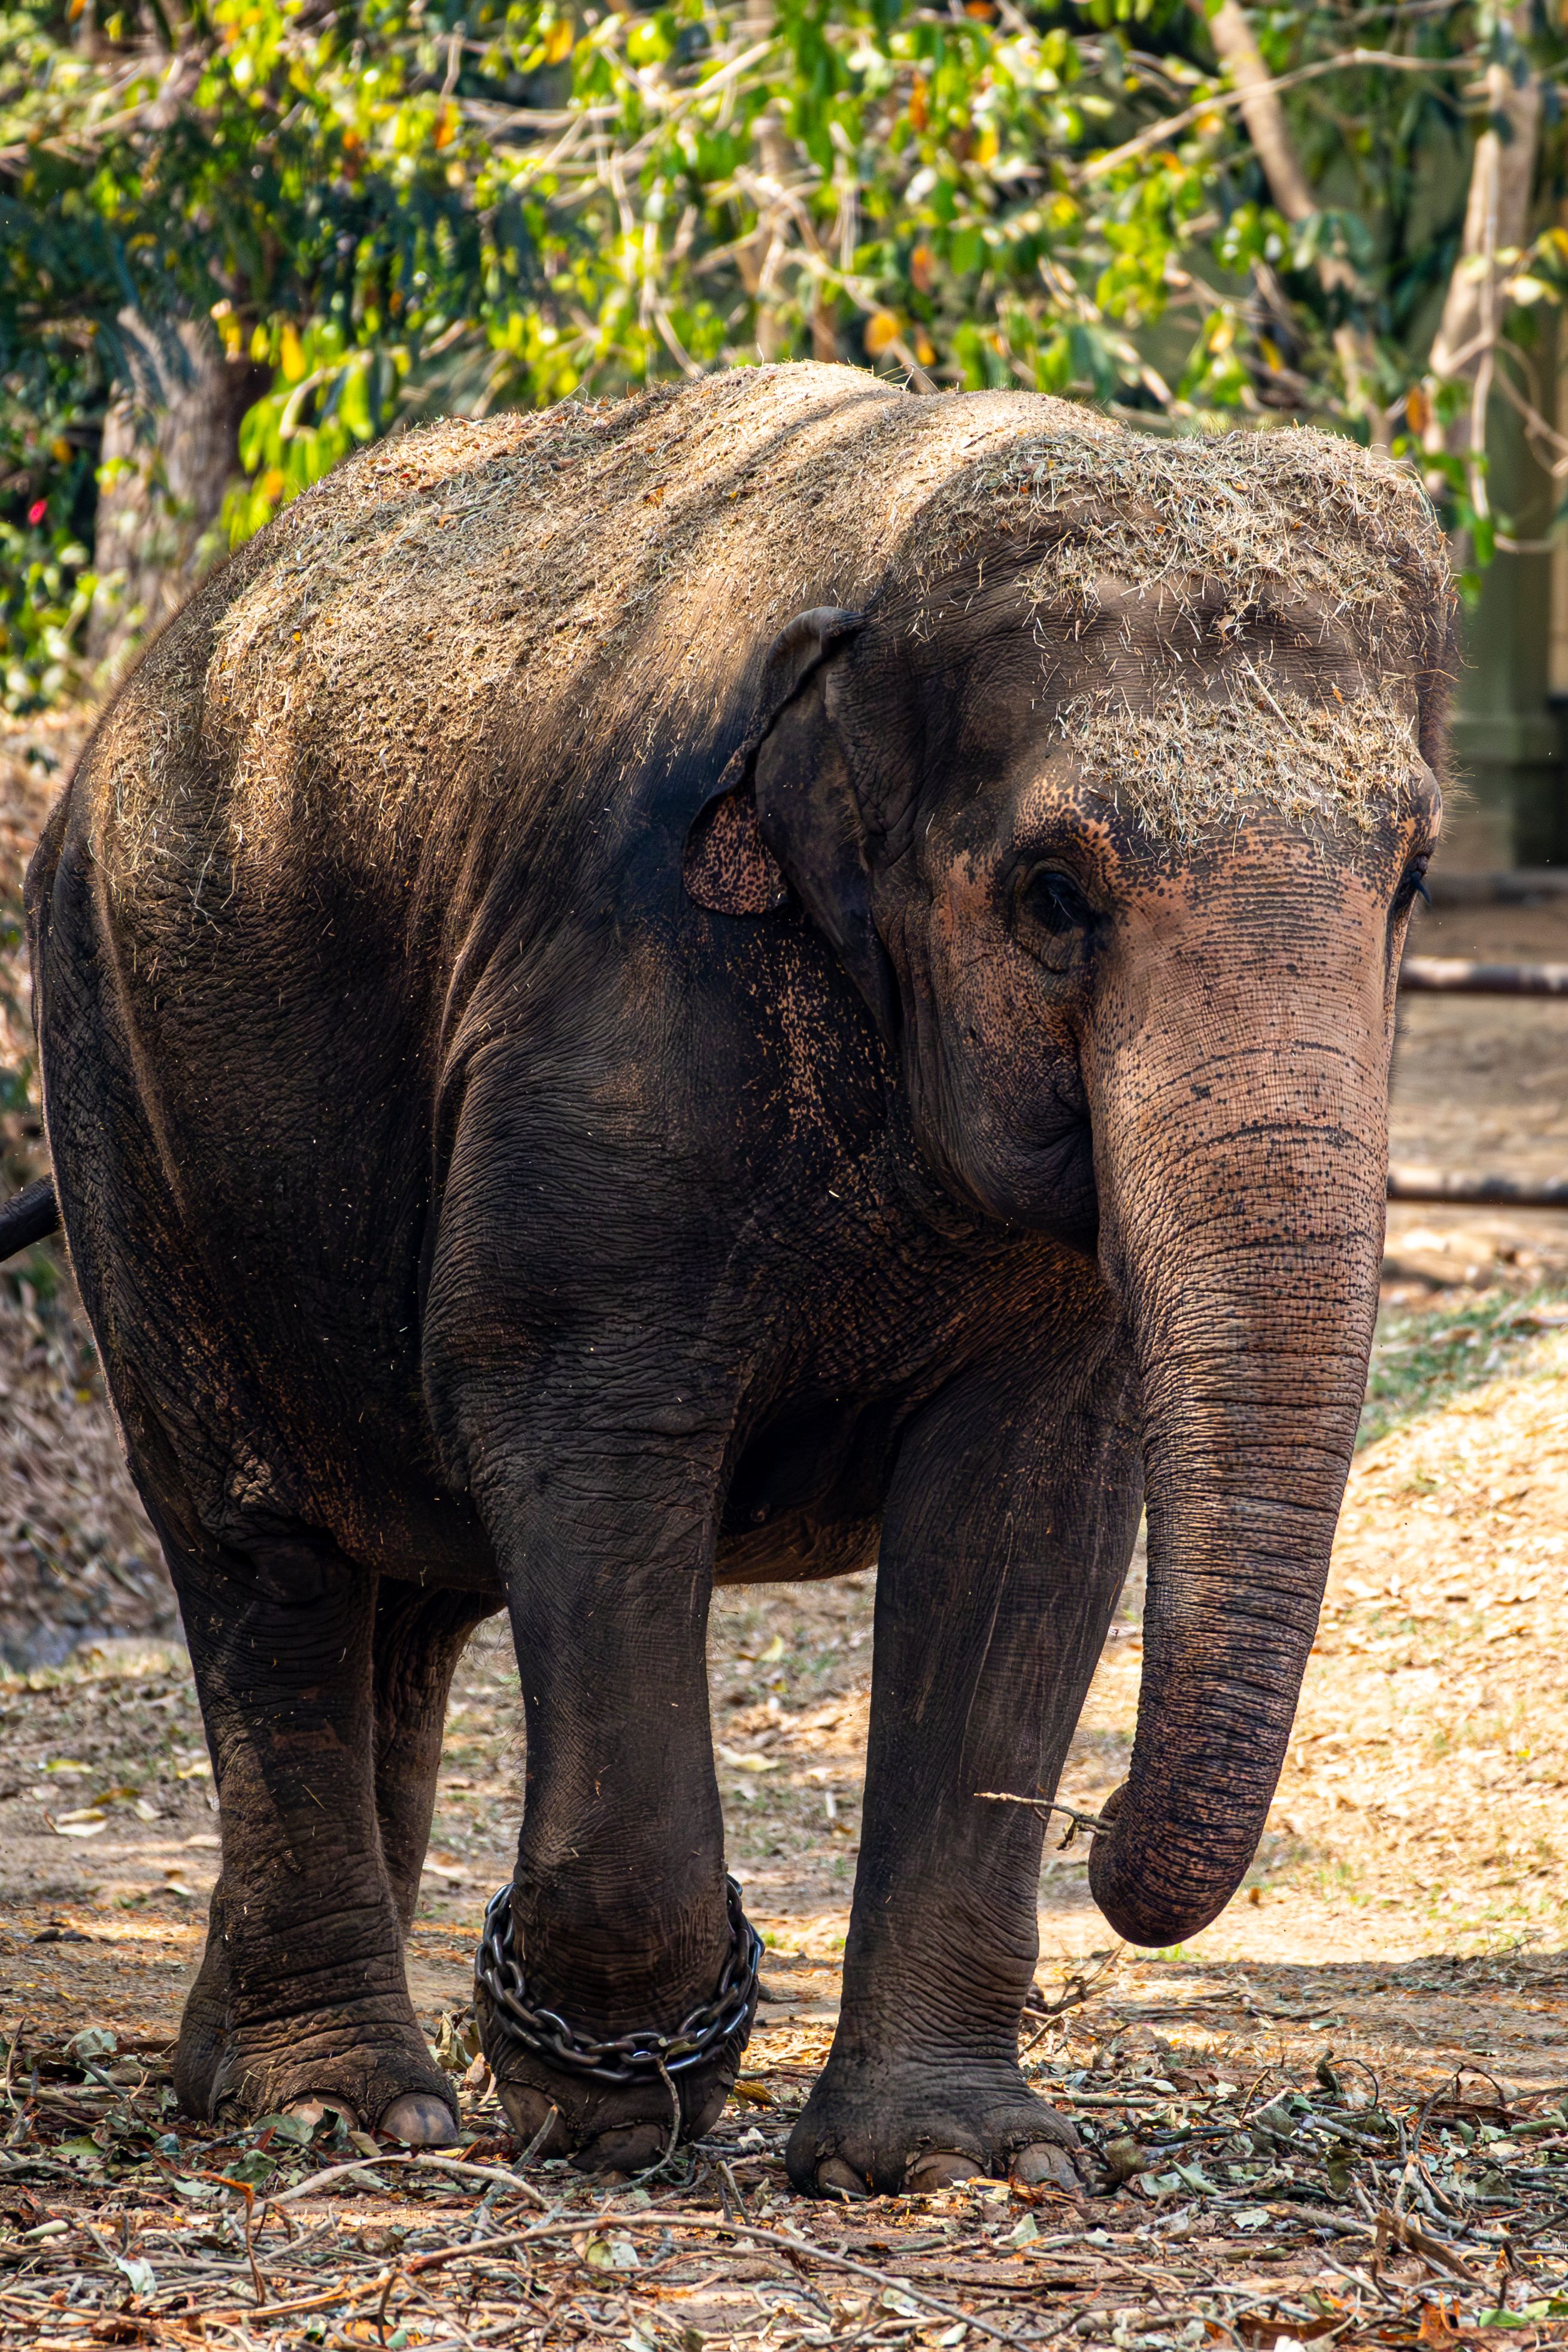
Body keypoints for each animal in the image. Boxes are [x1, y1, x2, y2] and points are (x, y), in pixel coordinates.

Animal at [22, 362, 1451, 2197]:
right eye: (1055, 894)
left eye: (1412, 879)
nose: (1111, 1856)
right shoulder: (620, 990)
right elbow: (581, 1413)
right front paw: (606, 2098)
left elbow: (1029, 1501)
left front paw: (956, 2163)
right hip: (125, 1094)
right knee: (263, 1552)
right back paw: (342, 2107)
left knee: (396, 1605)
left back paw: (250, 2080)